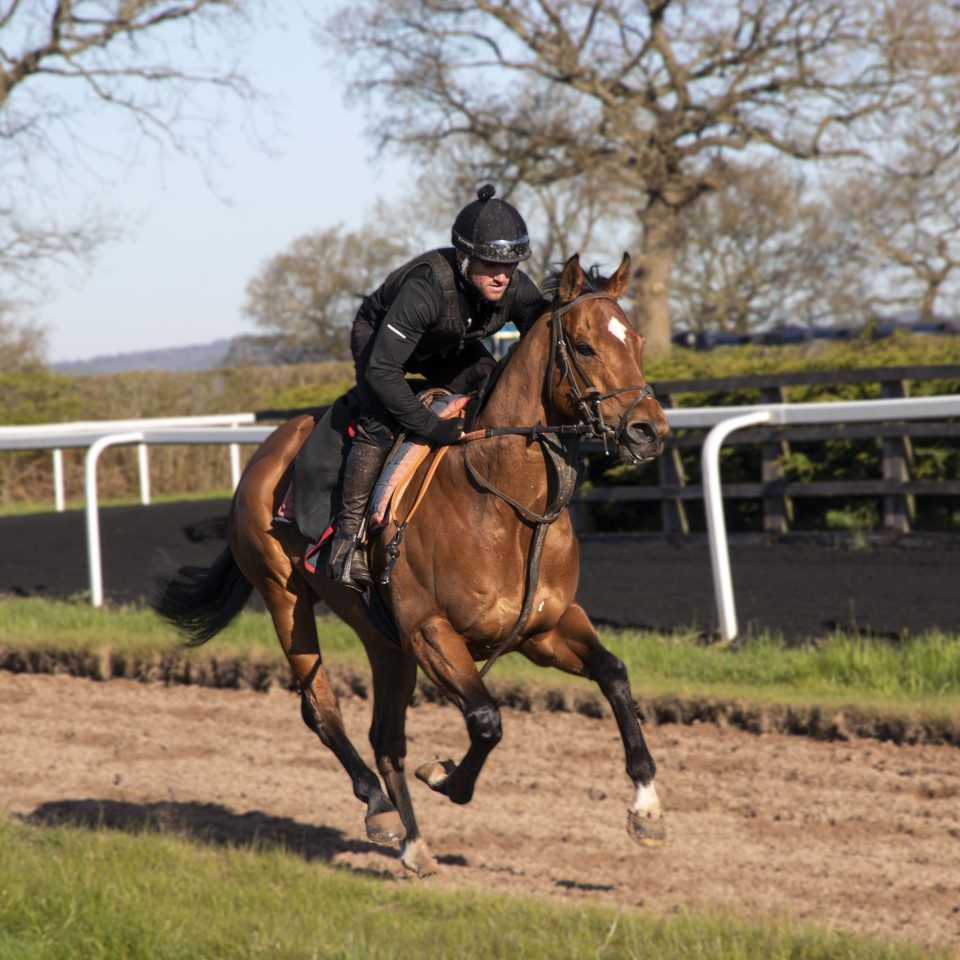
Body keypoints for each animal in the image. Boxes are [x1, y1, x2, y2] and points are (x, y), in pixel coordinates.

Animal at [154, 252, 670, 877]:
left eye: (637, 341)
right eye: (586, 346)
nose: (650, 431)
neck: (507, 501)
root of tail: (265, 452)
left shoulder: (544, 627)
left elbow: (614, 675)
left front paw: (646, 806)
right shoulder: (431, 632)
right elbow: (487, 720)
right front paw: (445, 775)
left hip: (384, 638)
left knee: (385, 736)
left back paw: (413, 841)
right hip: (284, 595)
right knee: (321, 708)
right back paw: (379, 808)